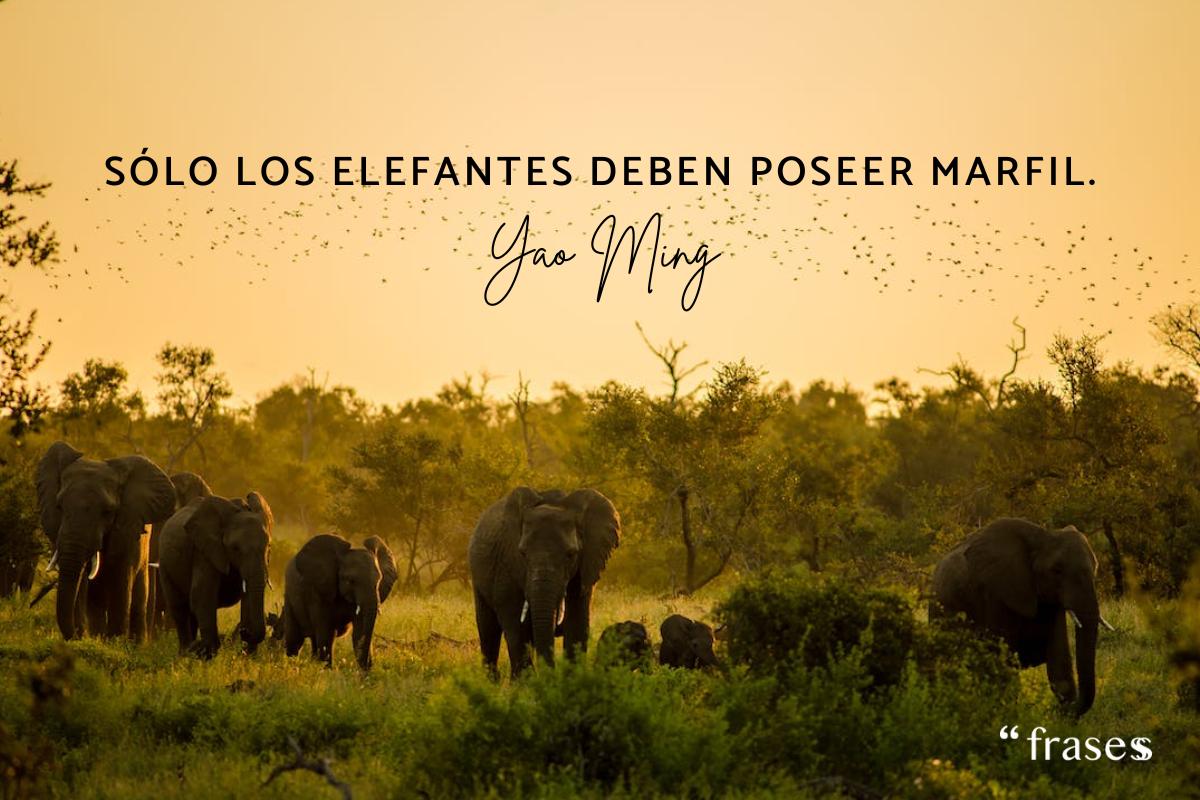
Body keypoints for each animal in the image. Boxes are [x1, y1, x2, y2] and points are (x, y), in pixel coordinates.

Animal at [36, 441, 176, 641]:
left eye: (108, 512)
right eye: (59, 506)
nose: (77, 636)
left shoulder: (126, 529)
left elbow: (122, 580)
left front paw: (116, 641)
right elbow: (82, 583)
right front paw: (91, 639)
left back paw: (135, 643)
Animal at [157, 491, 274, 657]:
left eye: (268, 546)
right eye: (235, 548)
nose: (244, 631)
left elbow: (248, 598)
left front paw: (249, 656)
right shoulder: (204, 551)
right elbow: (202, 595)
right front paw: (207, 654)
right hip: (165, 563)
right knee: (179, 608)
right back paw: (185, 652)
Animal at [282, 533, 397, 670]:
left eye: (379, 581)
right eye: (350, 581)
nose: (368, 669)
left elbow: (359, 631)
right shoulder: (317, 591)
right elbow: (325, 631)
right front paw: (327, 671)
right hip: (290, 597)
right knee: (295, 639)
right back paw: (292, 665)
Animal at [468, 487, 621, 677]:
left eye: (571, 554)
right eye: (522, 554)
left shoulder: (585, 567)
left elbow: (576, 626)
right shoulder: (506, 566)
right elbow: (516, 629)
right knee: (489, 631)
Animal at [931, 517, 1114, 716]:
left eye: (1096, 567)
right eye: (1056, 570)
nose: (1057, 711)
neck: (1043, 536)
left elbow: (1058, 661)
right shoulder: (995, 594)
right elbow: (1003, 664)